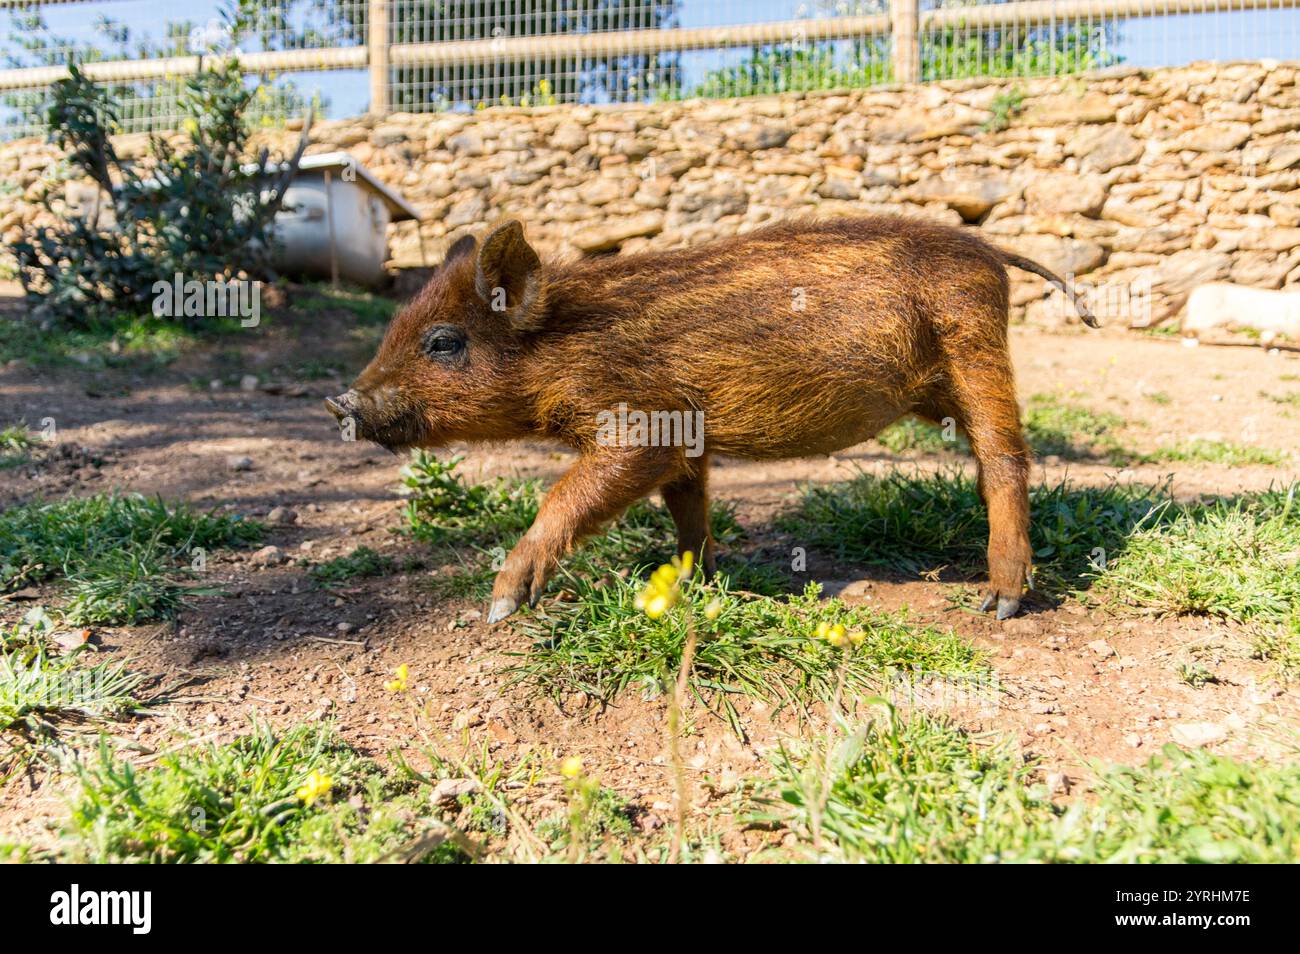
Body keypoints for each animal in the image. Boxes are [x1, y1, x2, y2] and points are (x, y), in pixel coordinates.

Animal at [328, 215, 1097, 623]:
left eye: (443, 342)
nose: (343, 401)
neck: (563, 345)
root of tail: (990, 249)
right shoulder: (684, 436)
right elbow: (688, 505)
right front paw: (693, 583)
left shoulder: (640, 423)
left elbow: (566, 495)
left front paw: (501, 609)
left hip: (976, 349)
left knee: (1007, 460)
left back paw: (997, 603)